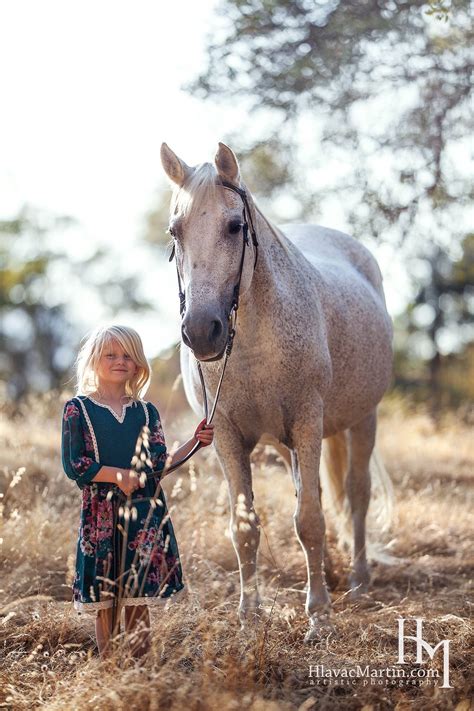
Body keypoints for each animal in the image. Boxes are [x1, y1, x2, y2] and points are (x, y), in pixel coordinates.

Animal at [160, 141, 394, 641]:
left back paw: (359, 580)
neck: (251, 345)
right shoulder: (226, 438)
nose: (201, 332)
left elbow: (310, 521)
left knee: (357, 494)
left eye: (235, 226)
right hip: (290, 446)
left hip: (363, 419)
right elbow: (246, 527)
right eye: (174, 230)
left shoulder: (307, 421)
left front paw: (320, 618)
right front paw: (249, 617)